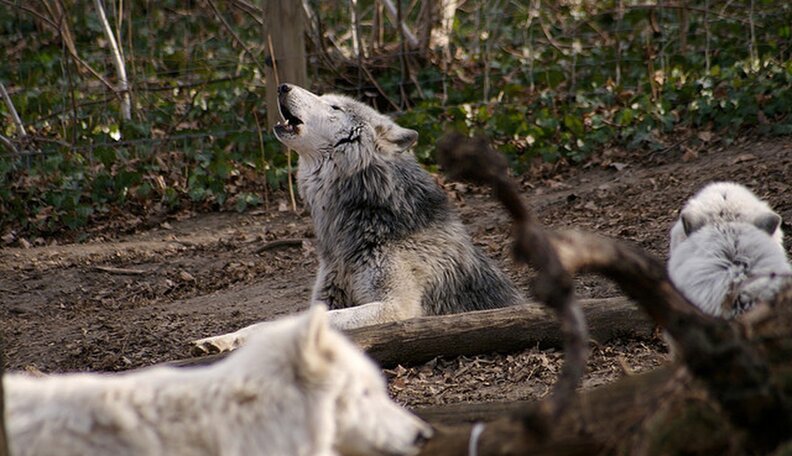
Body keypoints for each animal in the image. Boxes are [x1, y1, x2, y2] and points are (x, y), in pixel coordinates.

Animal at [193, 83, 523, 353]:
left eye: (334, 107)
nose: (283, 86)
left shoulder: (396, 308)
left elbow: (329, 320)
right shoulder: (327, 296)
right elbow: (268, 324)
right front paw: (221, 340)